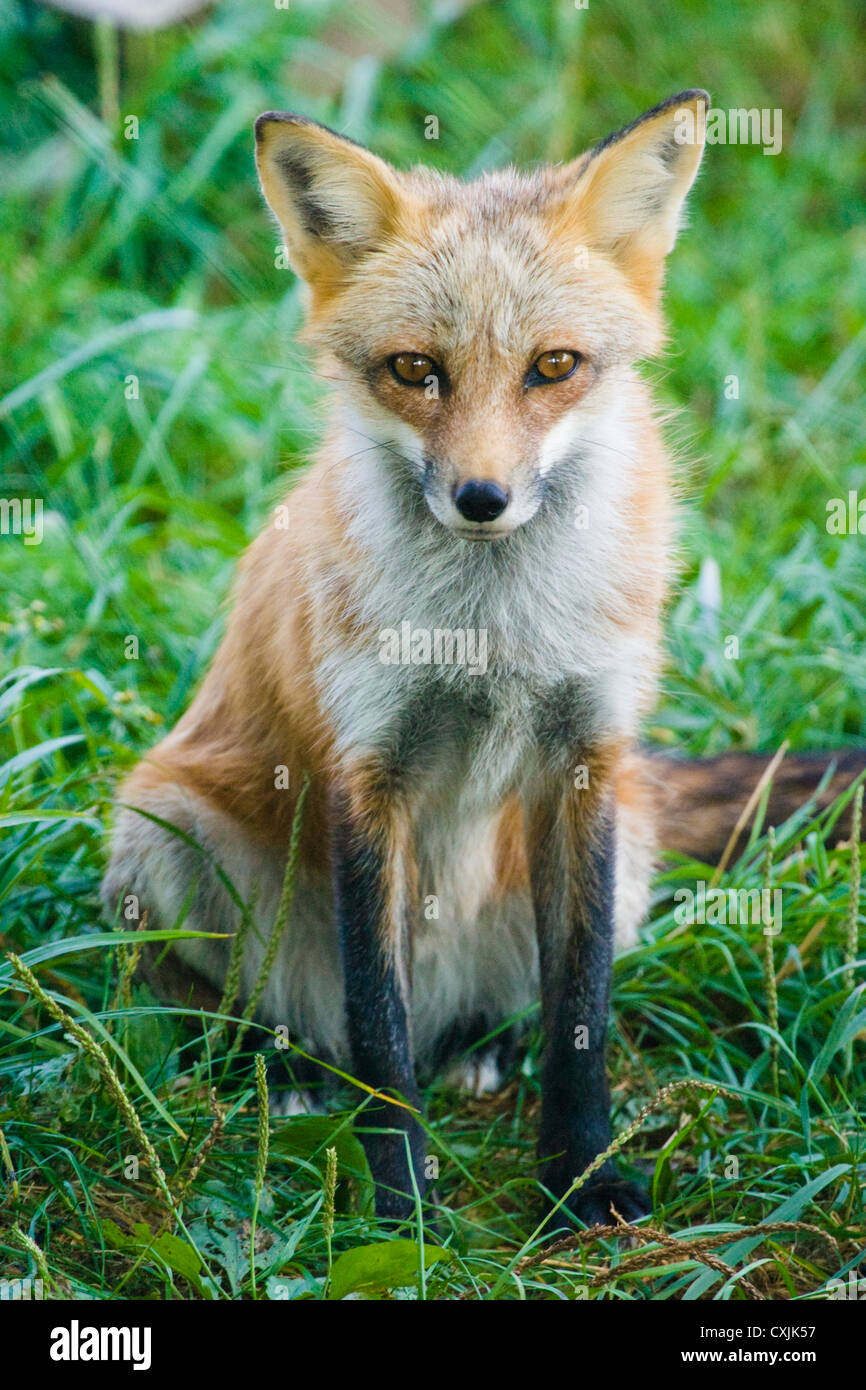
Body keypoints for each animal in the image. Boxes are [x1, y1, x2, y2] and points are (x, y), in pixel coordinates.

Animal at [102, 91, 864, 1228]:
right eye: (414, 369)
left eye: (553, 366)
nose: (480, 499)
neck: (489, 636)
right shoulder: (366, 774)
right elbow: (378, 1030)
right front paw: (401, 1199)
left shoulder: (586, 761)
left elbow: (580, 1013)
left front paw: (581, 1176)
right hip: (166, 825)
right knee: (246, 1012)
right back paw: (276, 1069)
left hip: (628, 844)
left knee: (499, 1009)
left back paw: (477, 1047)